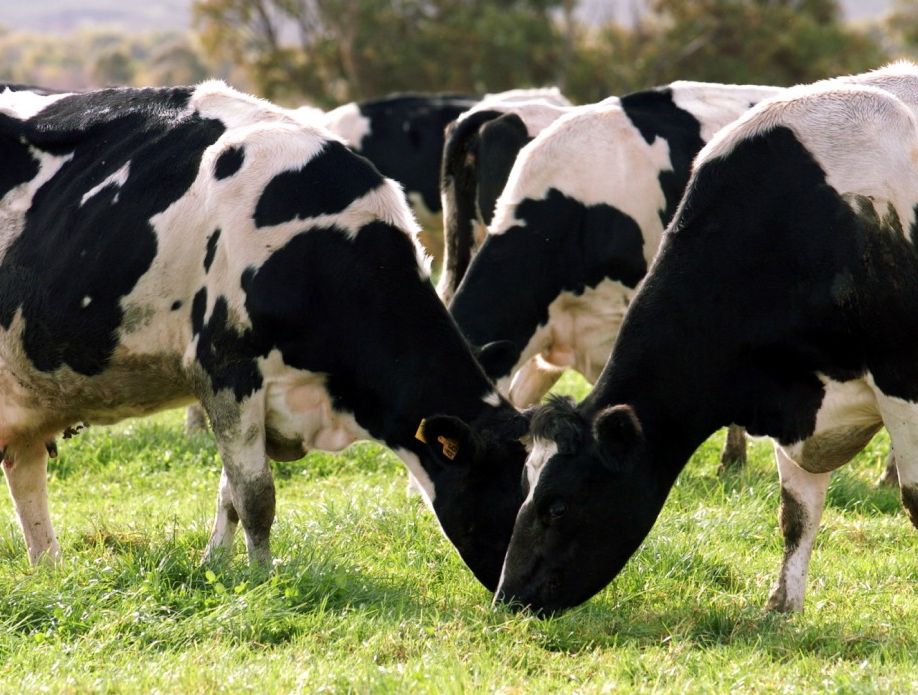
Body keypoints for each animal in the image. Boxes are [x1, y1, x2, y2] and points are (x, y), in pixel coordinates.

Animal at [0, 81, 530, 590]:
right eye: (515, 493)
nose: (533, 602)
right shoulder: (225, 369)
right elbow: (256, 497)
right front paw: (261, 577)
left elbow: (230, 496)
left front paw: (214, 565)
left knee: (25, 471)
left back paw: (49, 570)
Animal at [495, 65, 918, 615]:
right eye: (523, 484)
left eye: (559, 506)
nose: (507, 594)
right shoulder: (798, 393)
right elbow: (796, 512)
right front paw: (780, 607)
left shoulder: (902, 381)